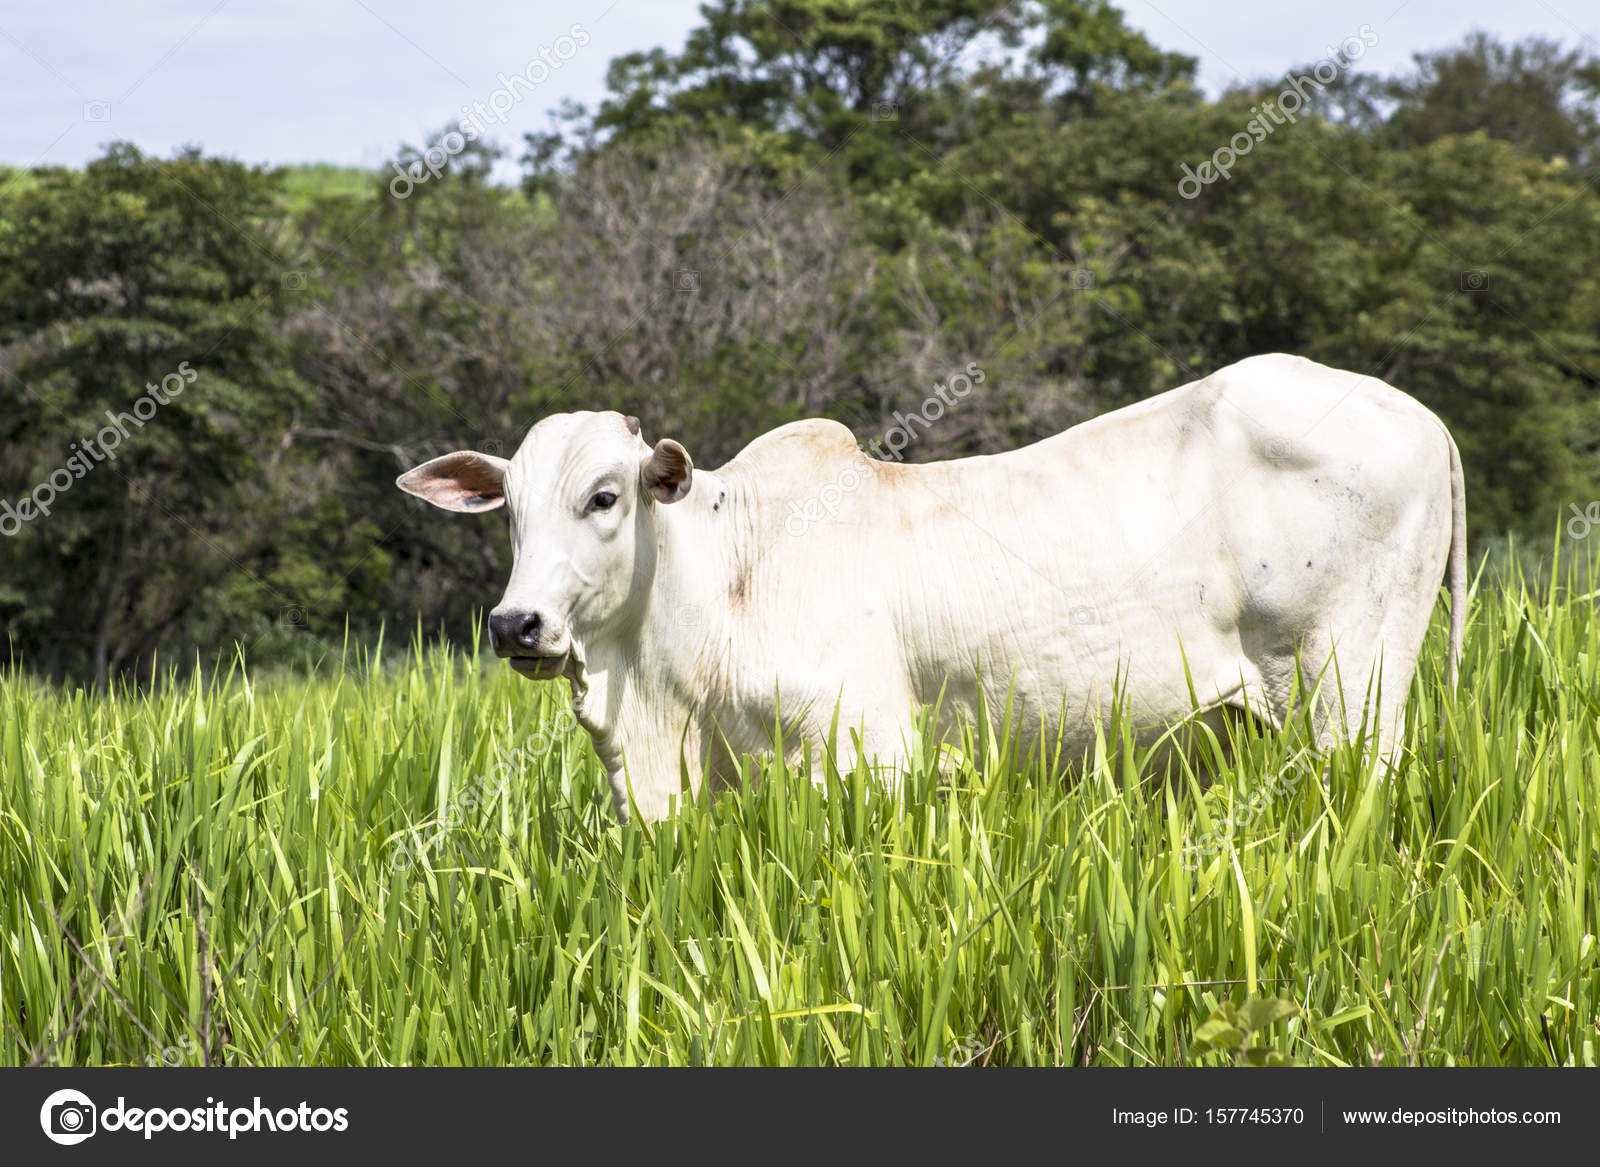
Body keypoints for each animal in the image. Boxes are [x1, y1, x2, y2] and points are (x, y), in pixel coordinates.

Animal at [398, 353, 1466, 823]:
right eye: (508, 509)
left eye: (605, 495)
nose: (516, 623)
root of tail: (1420, 412)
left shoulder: (867, 752)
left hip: (1354, 692)